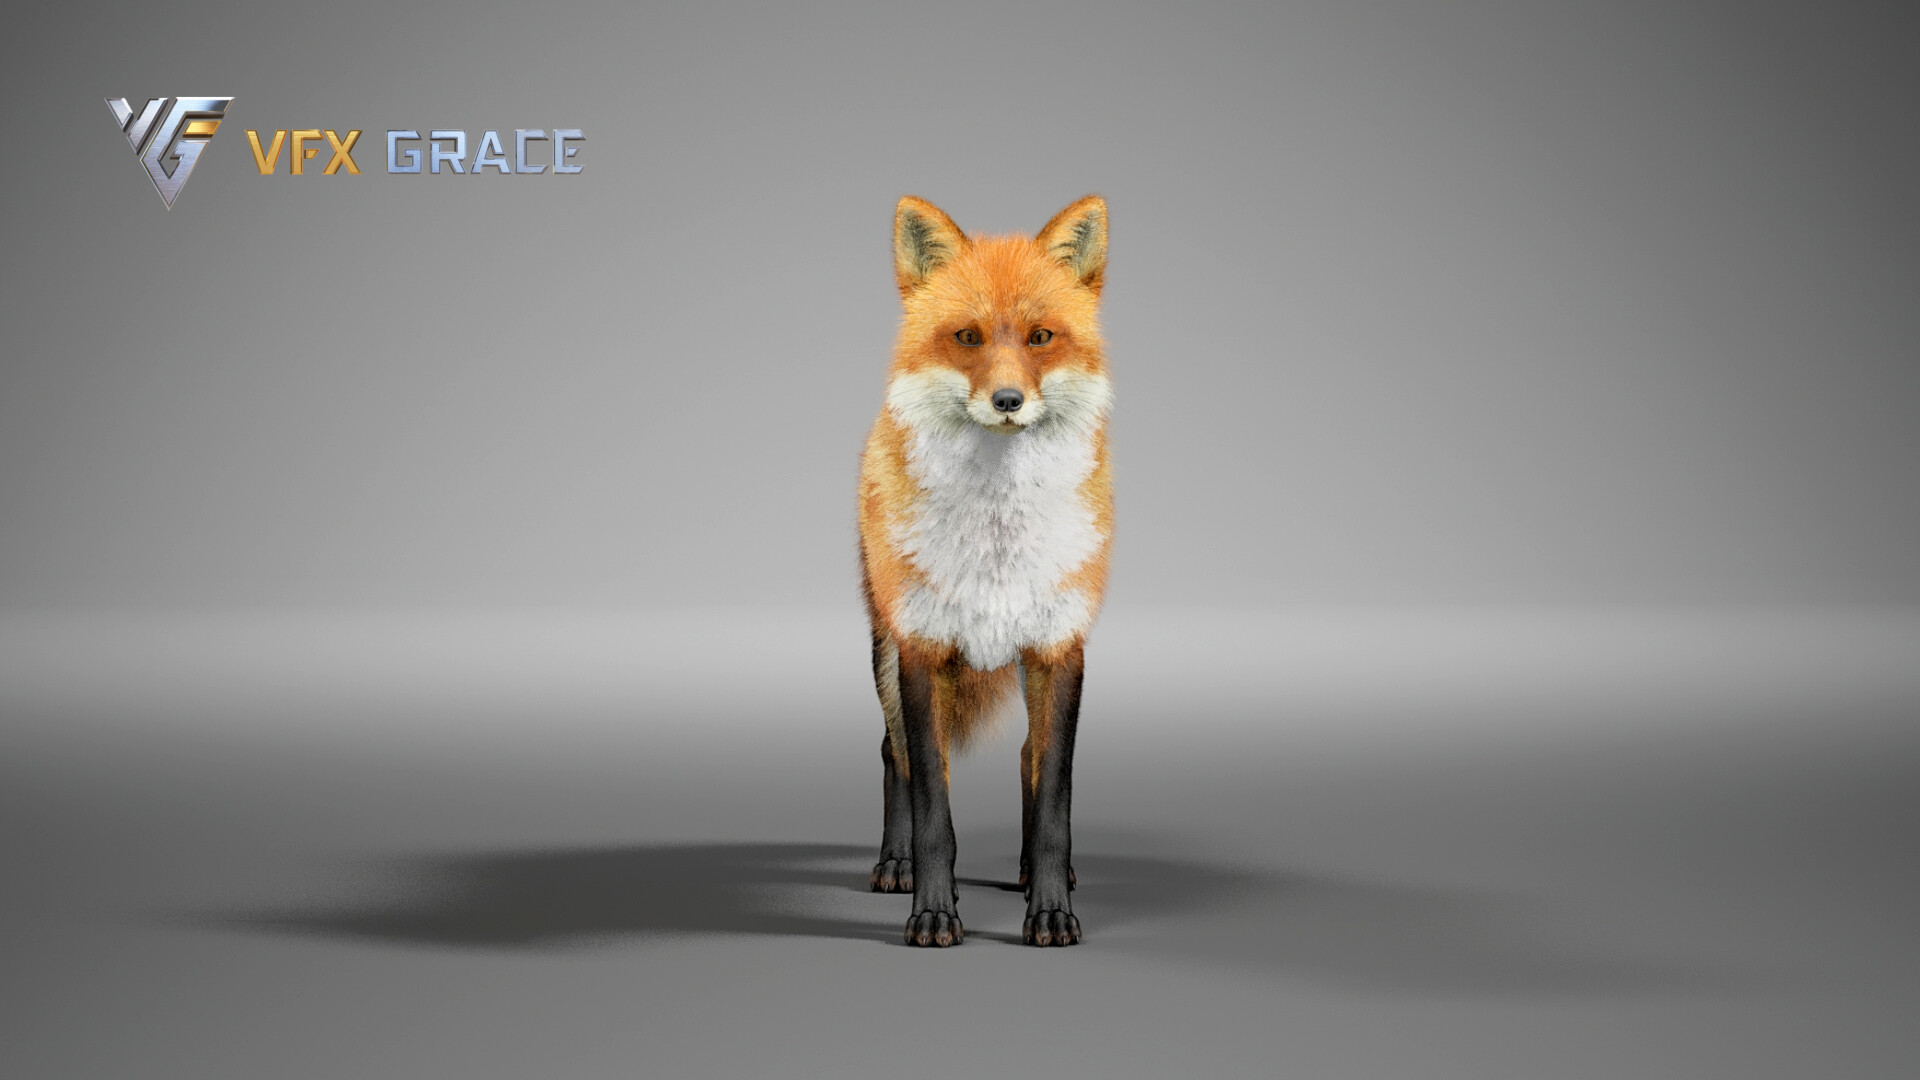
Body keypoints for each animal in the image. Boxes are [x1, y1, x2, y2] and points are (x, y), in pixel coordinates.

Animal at [858, 194, 1113, 948]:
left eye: (1040, 337)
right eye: (967, 337)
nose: (1007, 401)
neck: (998, 539)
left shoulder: (1060, 646)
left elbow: (1053, 798)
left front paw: (1051, 911)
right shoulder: (922, 648)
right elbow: (934, 811)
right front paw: (934, 914)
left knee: (1028, 755)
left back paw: (1032, 876)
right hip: (882, 649)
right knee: (892, 754)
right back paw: (895, 865)